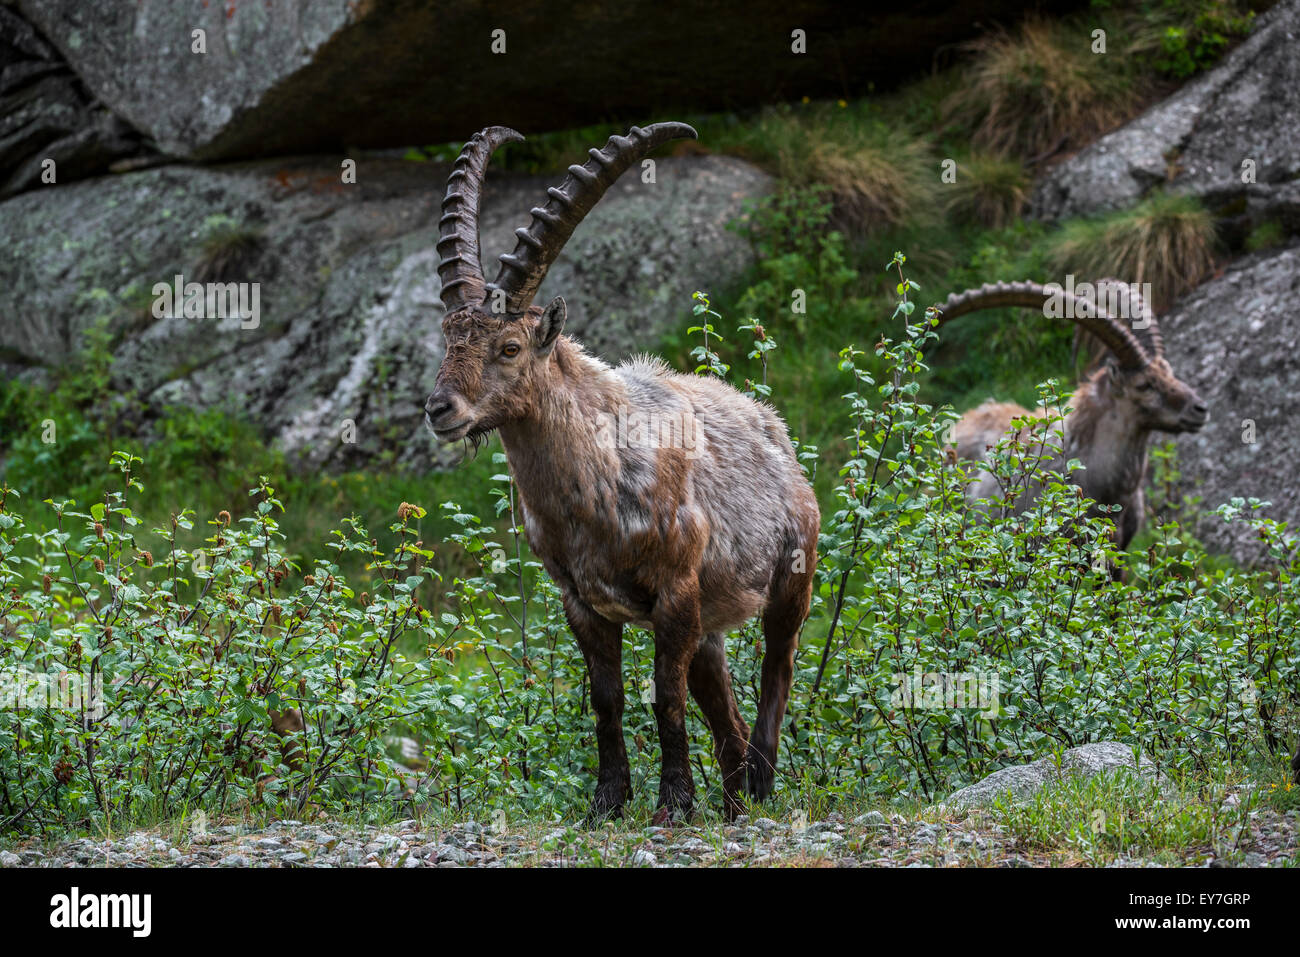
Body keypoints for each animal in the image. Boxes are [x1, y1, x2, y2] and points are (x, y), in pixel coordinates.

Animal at [424, 125, 820, 823]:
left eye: (509, 347)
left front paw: (673, 805)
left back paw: (760, 785)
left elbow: (664, 697)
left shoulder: (674, 590)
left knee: (777, 669)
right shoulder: (582, 601)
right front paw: (606, 804)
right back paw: (735, 800)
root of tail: (776, 432)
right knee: (720, 704)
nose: (440, 410)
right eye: (448, 338)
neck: (594, 486)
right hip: (710, 626)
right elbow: (607, 700)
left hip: (788, 581)